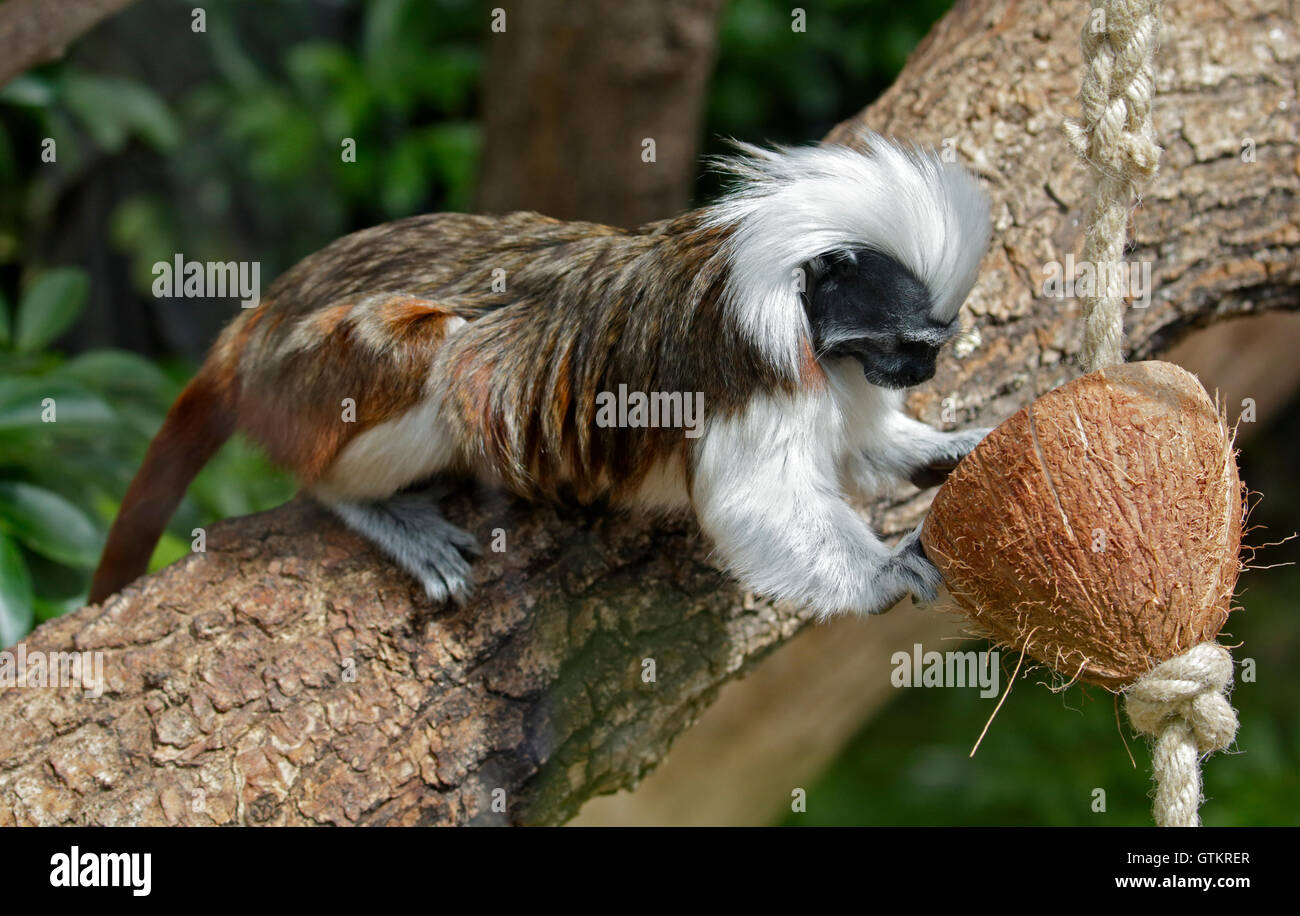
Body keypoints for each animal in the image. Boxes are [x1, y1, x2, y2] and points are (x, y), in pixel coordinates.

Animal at [89, 129, 993, 619]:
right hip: (310, 377)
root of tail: (265, 314)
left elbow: (862, 451)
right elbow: (756, 503)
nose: (925, 365)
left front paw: (949, 450)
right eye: (912, 339)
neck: (789, 294)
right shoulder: (756, 361)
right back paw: (361, 501)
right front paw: (887, 571)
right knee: (444, 354)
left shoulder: (836, 367)